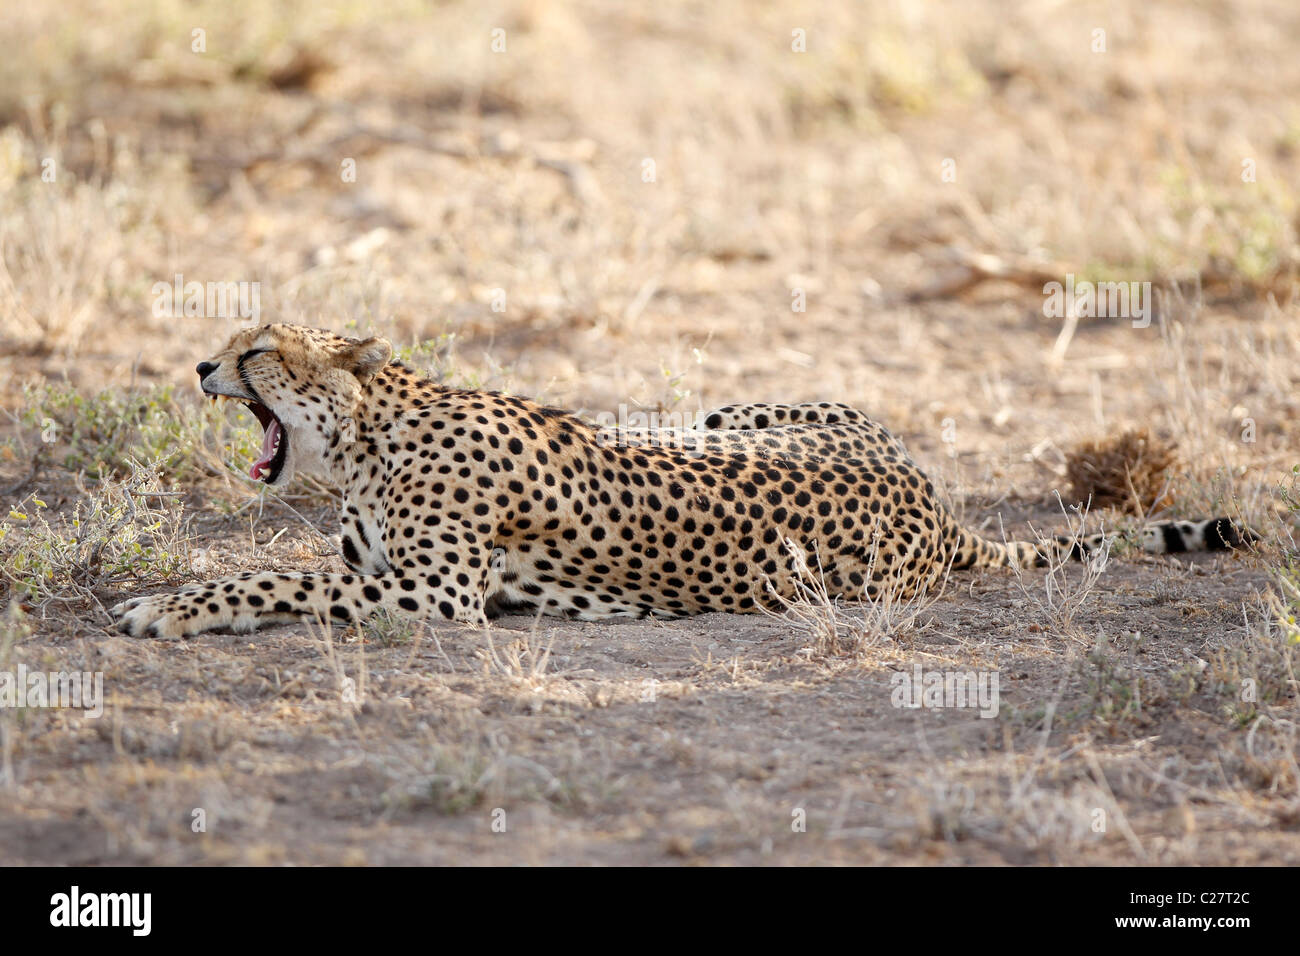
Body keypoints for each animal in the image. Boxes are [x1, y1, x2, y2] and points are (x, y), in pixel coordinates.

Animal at [110, 323, 1254, 639]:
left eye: (259, 351)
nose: (203, 365)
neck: (374, 433)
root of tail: (933, 492)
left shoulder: (435, 594)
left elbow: (278, 577)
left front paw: (164, 605)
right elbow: (292, 565)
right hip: (717, 412)